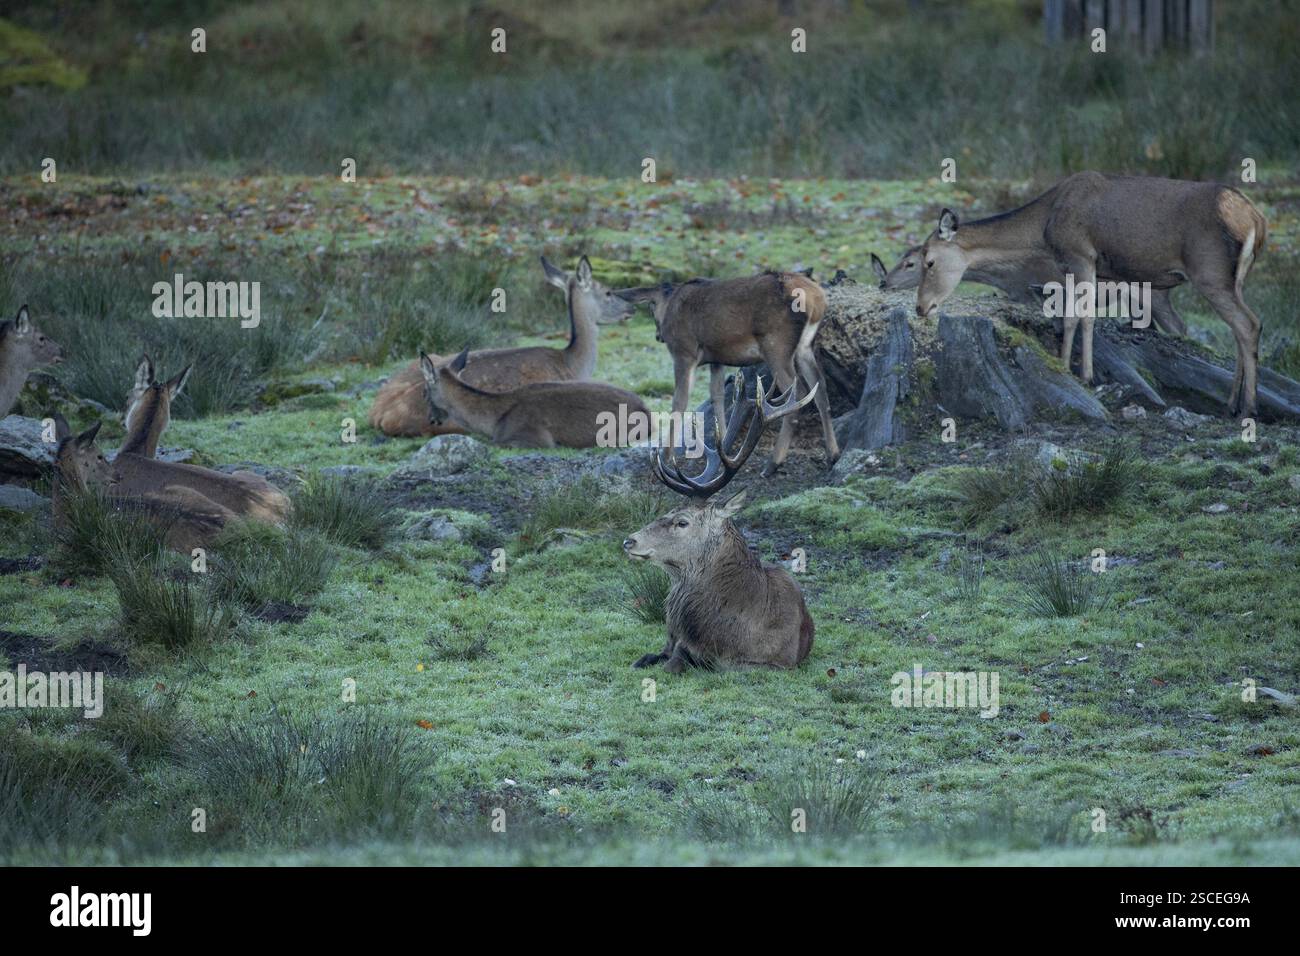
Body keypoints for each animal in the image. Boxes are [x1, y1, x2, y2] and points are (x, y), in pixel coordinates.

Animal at [616, 270, 839, 476]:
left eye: (651, 307)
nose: (658, 336)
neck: (671, 300)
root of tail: (816, 299)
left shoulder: (684, 352)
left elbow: (679, 402)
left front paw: (666, 457)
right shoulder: (717, 358)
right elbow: (717, 395)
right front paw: (723, 444)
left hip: (776, 345)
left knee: (798, 393)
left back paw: (773, 464)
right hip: (804, 347)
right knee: (820, 388)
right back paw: (832, 455)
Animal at [623, 373, 816, 673]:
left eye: (682, 522)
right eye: (667, 511)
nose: (629, 541)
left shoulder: (775, 664)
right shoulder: (675, 643)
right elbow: (661, 657)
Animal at [913, 172, 1268, 416]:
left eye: (928, 261)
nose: (920, 307)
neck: (1043, 229)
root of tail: (1256, 220)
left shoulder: (1081, 255)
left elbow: (1080, 316)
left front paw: (1081, 374)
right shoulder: (1079, 268)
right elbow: (1073, 315)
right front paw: (1068, 366)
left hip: (1209, 271)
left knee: (1248, 324)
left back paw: (1248, 407)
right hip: (1235, 278)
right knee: (1241, 328)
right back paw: (1232, 403)